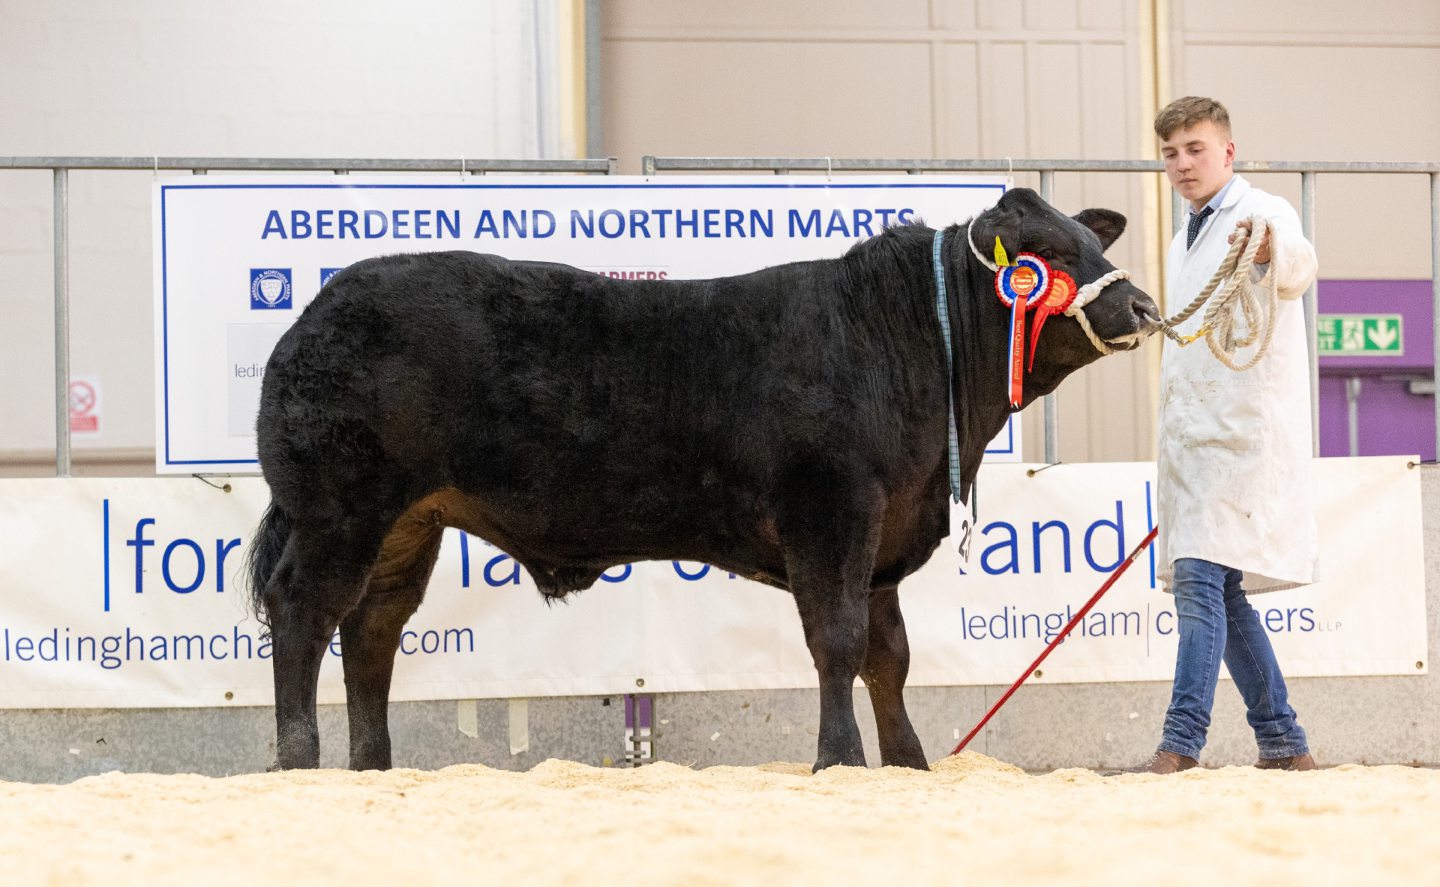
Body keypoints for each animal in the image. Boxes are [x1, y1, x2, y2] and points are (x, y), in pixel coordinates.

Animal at [247, 187, 1159, 773]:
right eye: (1046, 255)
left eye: (1094, 245)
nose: (1145, 308)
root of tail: (321, 306)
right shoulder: (833, 507)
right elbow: (837, 639)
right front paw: (840, 758)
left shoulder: (885, 528)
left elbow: (889, 656)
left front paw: (909, 763)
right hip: (342, 507)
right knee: (303, 611)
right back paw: (300, 762)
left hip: (410, 521)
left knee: (372, 629)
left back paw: (374, 766)